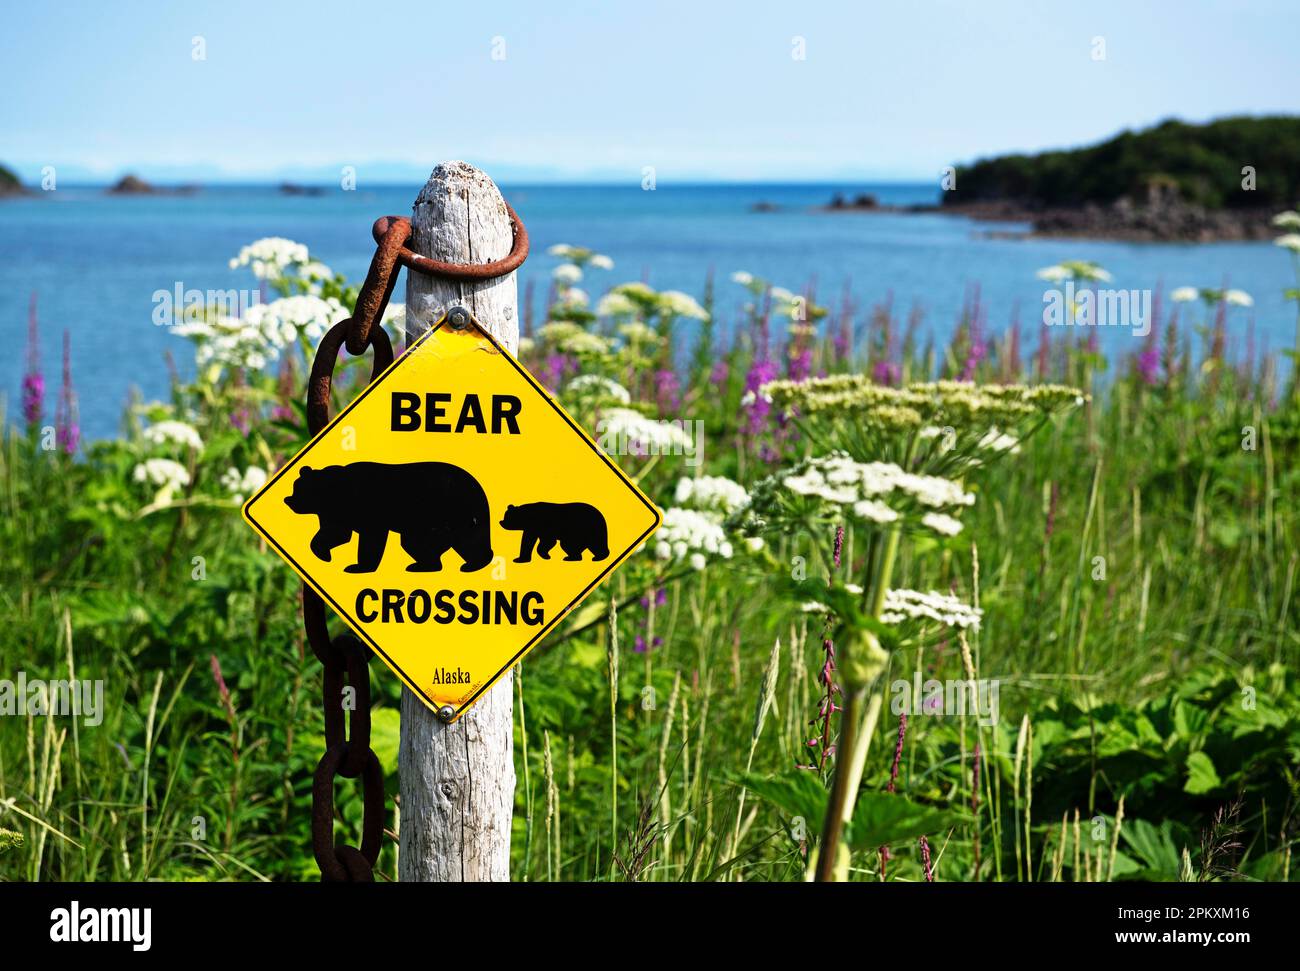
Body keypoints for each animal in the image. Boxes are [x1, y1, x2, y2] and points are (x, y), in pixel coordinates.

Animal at [284, 462, 493, 574]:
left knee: (466, 540)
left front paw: (359, 566)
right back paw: (424, 564)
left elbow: (370, 540)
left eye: (299, 489)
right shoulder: (335, 515)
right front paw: (324, 554)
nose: (288, 500)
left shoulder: (368, 515)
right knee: (420, 544)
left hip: (455, 509)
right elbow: (334, 534)